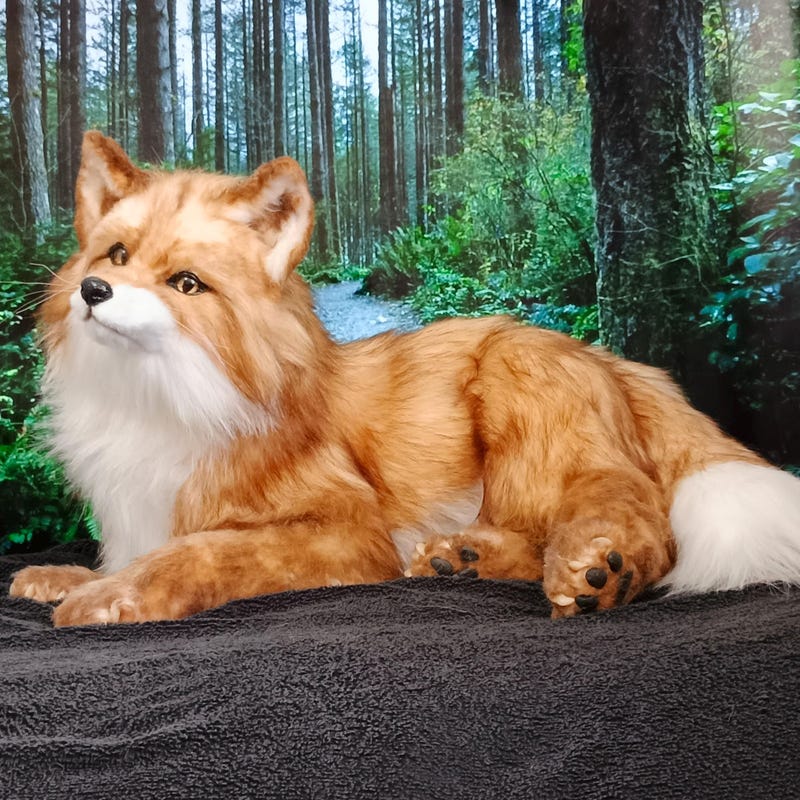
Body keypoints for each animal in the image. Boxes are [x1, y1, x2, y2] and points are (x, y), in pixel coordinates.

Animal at [9, 131, 800, 626]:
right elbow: (133, 555)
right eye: (114, 256)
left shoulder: (349, 530)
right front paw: (70, 579)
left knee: (638, 515)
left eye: (185, 283)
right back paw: (463, 559)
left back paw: (600, 572)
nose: (95, 293)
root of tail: (616, 358)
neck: (158, 401)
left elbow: (198, 551)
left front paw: (108, 599)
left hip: (525, 404)